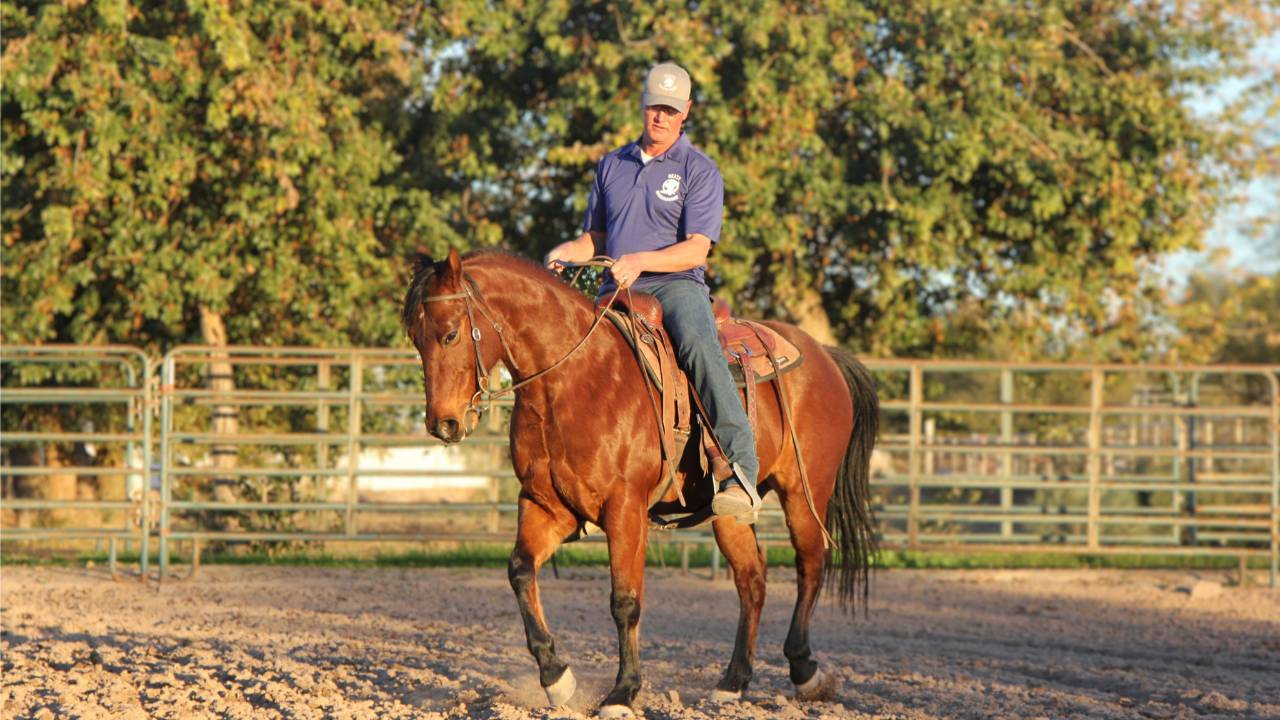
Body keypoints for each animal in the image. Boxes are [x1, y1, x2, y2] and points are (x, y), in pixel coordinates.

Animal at [403, 247, 879, 717]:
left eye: (450, 334)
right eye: (415, 338)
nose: (443, 424)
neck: (575, 380)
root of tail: (823, 354)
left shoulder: (625, 509)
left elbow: (625, 601)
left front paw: (623, 692)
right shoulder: (546, 505)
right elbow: (519, 571)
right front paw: (557, 678)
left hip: (804, 491)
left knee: (810, 564)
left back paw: (805, 671)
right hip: (730, 511)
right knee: (752, 579)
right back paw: (733, 681)